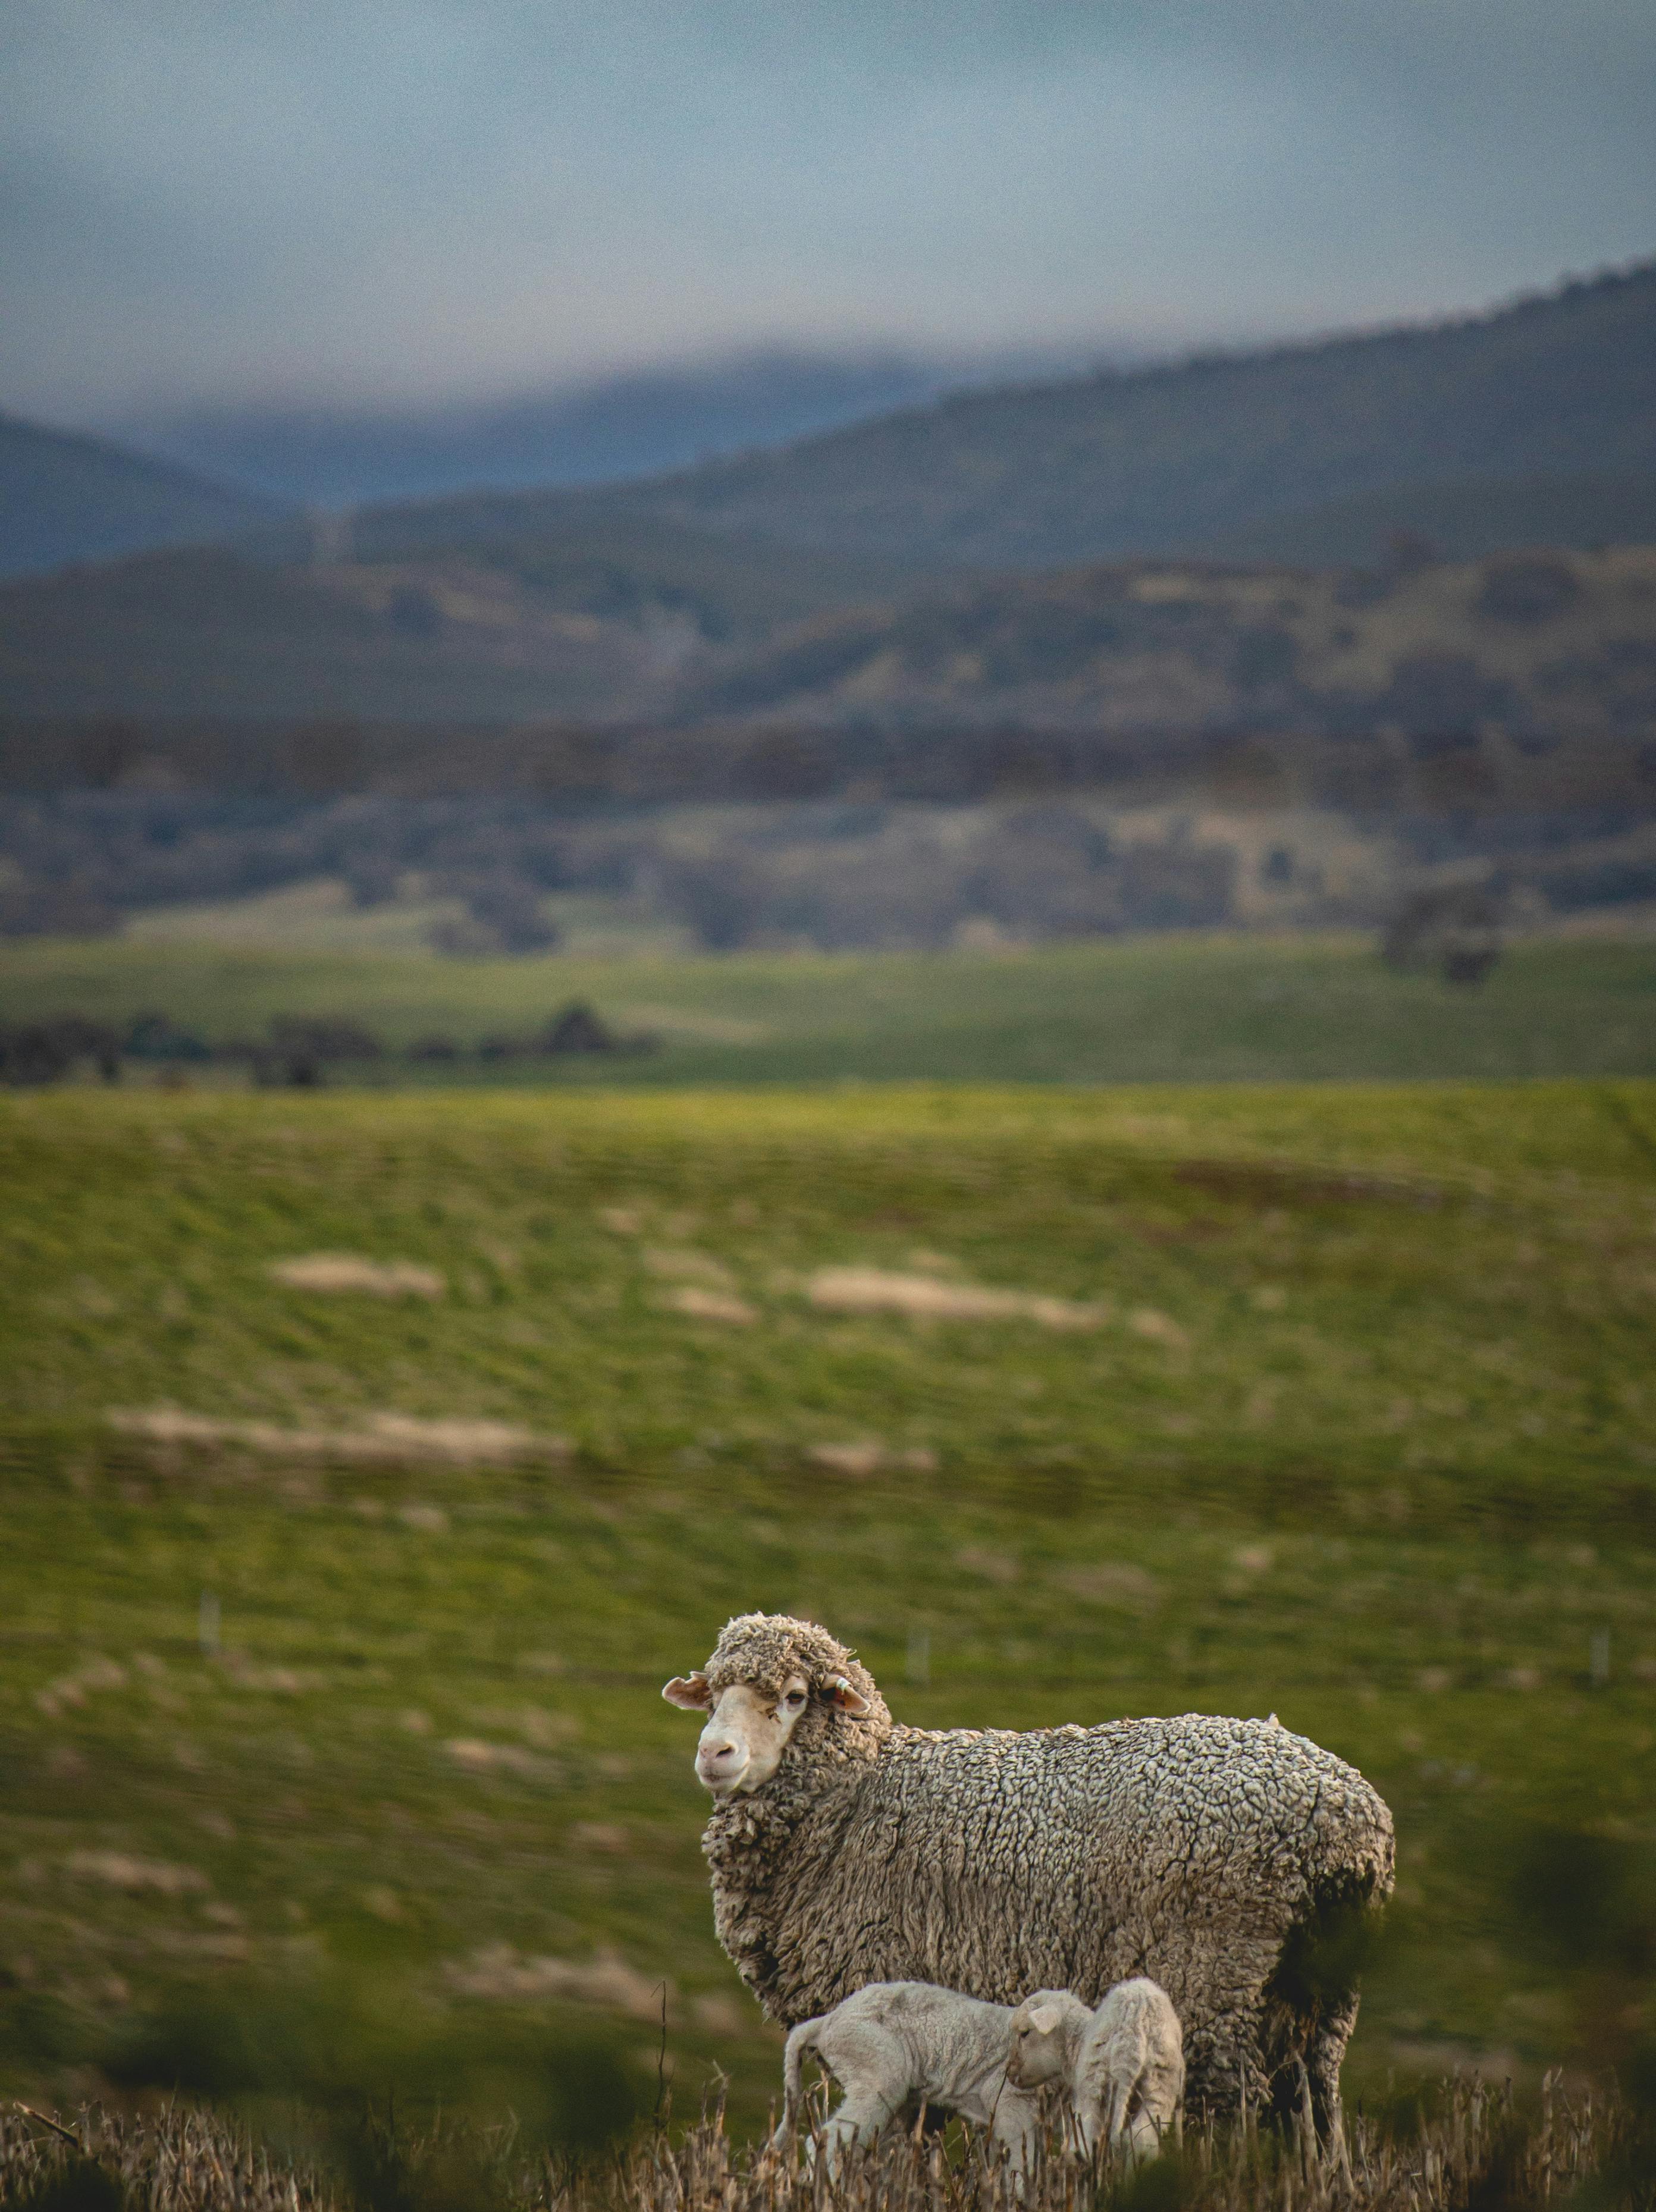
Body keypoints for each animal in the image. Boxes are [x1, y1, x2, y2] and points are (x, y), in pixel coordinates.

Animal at [663, 1612, 1393, 2130]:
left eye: (793, 1696)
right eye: (713, 1695)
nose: (714, 1753)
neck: (856, 1792)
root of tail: (1346, 1814)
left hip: (1215, 1973)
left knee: (1234, 2103)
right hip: (1316, 1994)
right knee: (1313, 2107)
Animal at [1007, 1979, 1184, 2161]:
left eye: (1025, 2033)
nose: (1010, 2074)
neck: (1078, 2042)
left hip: (1096, 2084)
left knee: (1091, 2136)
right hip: (1161, 2080)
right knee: (1143, 2136)